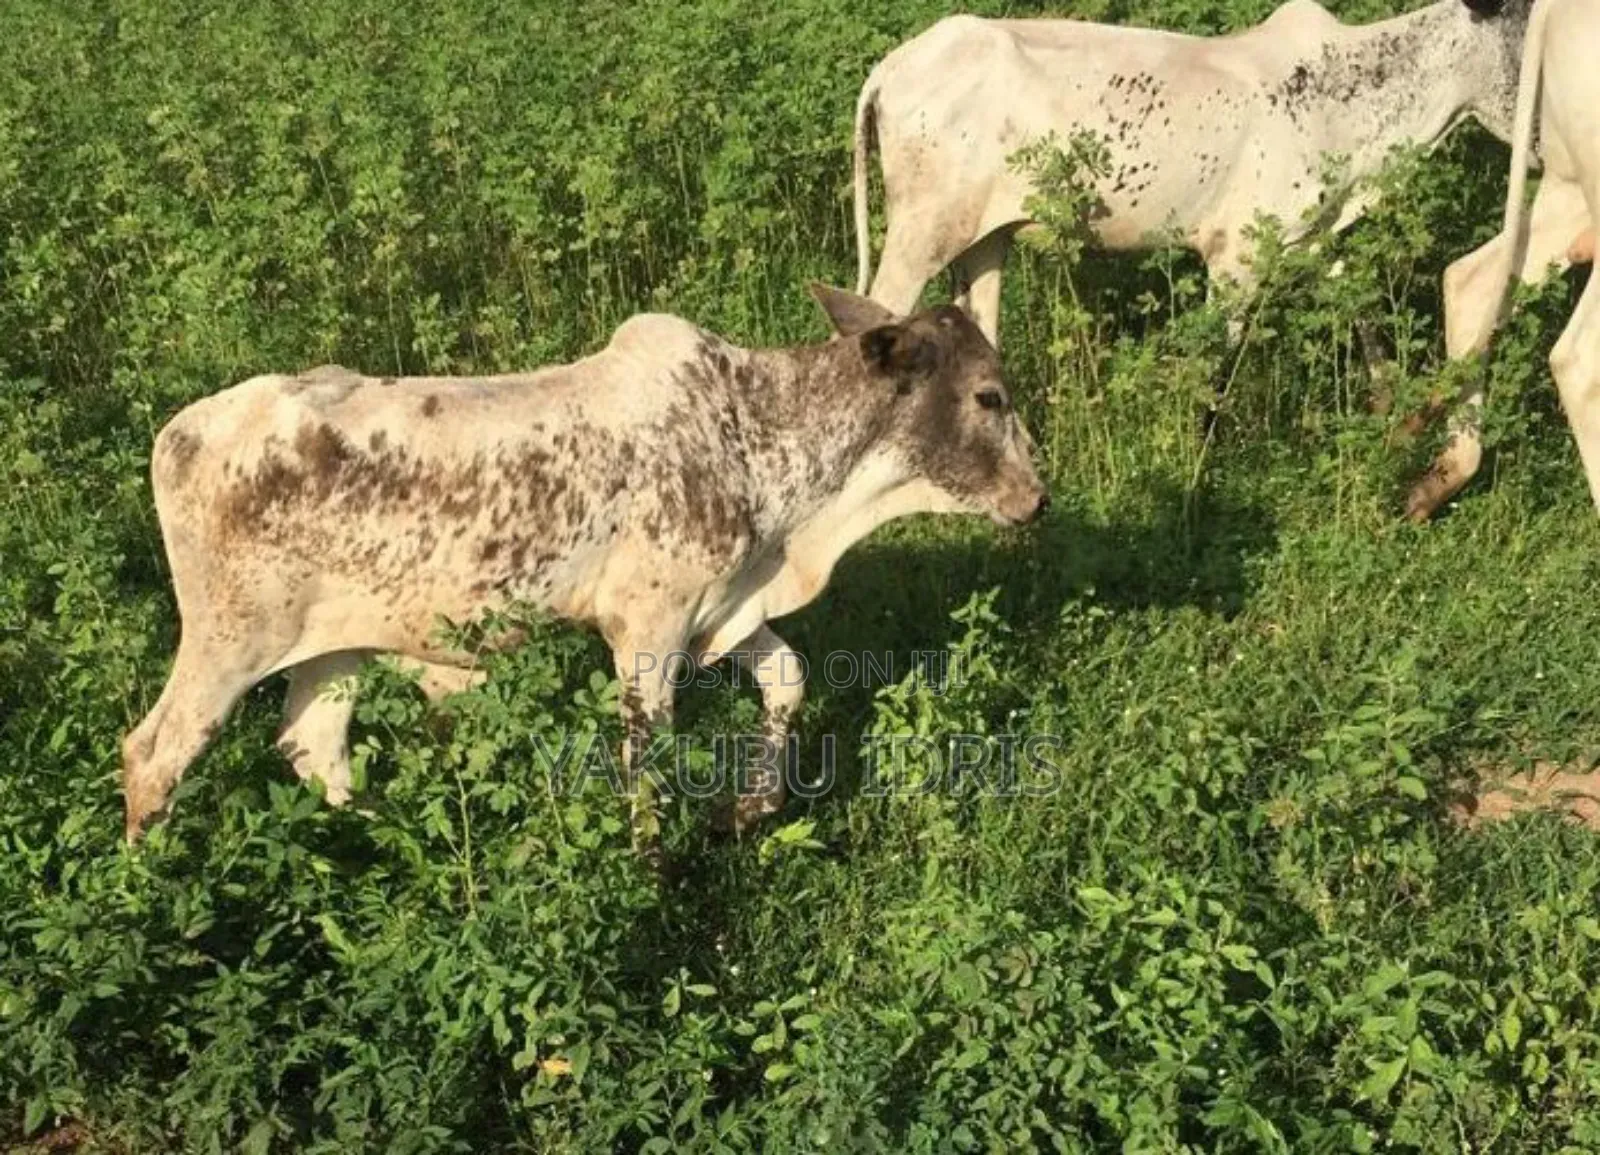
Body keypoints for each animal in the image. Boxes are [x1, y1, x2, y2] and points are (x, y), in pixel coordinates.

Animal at [120, 286, 1049, 861]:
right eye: (990, 397)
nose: (1037, 498)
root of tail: (181, 432)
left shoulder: (723, 607)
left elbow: (787, 679)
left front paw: (746, 809)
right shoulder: (649, 623)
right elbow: (644, 752)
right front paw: (653, 869)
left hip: (333, 646)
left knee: (314, 749)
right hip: (229, 641)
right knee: (153, 753)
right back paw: (147, 889)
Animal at [852, 0, 1530, 348]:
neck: (1344, 93)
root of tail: (891, 67)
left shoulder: (1312, 241)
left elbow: (1366, 330)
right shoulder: (1235, 259)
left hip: (985, 238)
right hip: (920, 232)